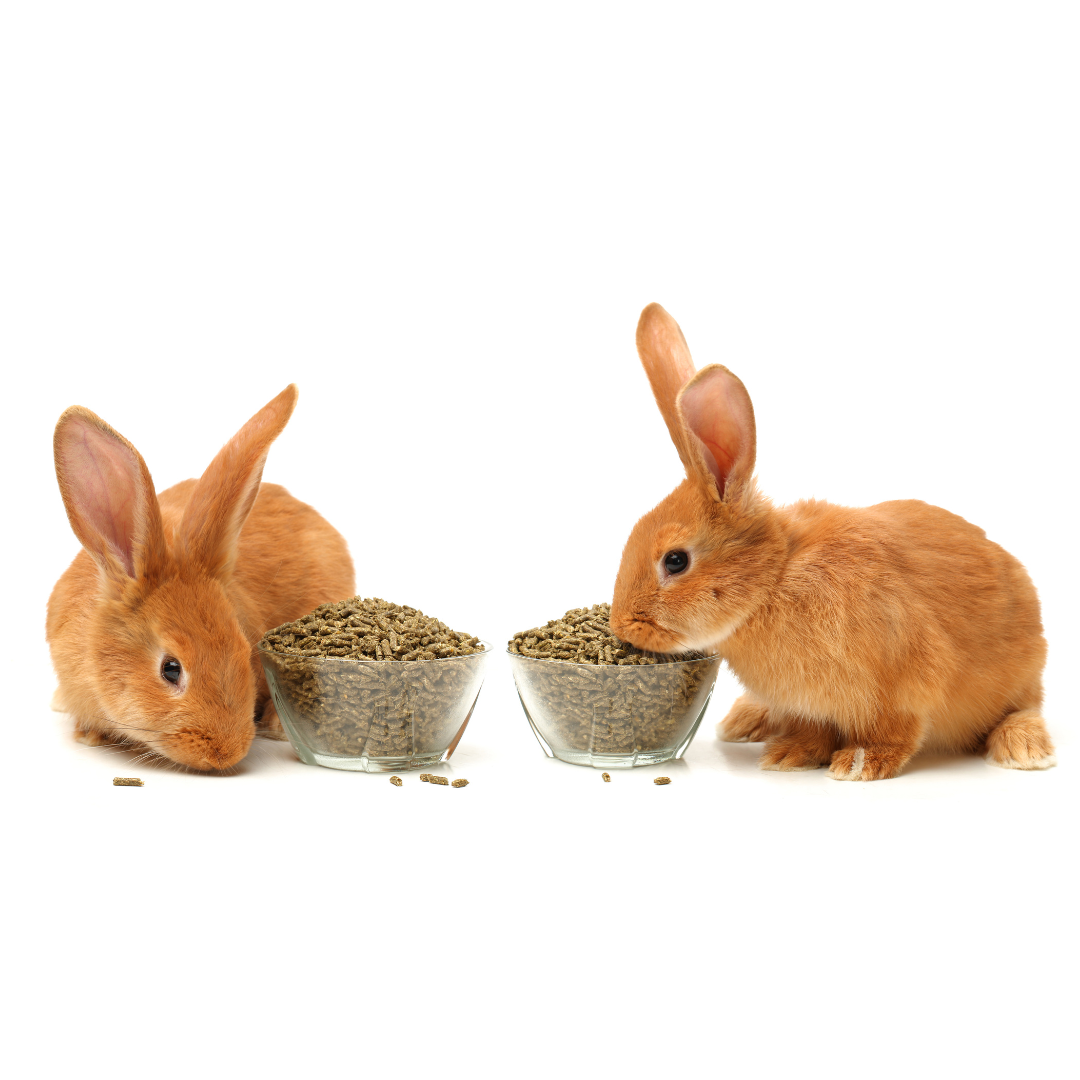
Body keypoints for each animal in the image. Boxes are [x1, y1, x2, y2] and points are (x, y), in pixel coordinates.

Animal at [610, 304, 1055, 780]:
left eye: (675, 561)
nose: (622, 627)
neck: (774, 580)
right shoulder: (809, 707)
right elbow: (812, 731)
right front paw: (789, 756)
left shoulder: (904, 683)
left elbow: (894, 732)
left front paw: (859, 763)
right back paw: (744, 721)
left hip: (1020, 678)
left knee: (1023, 709)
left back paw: (1026, 750)